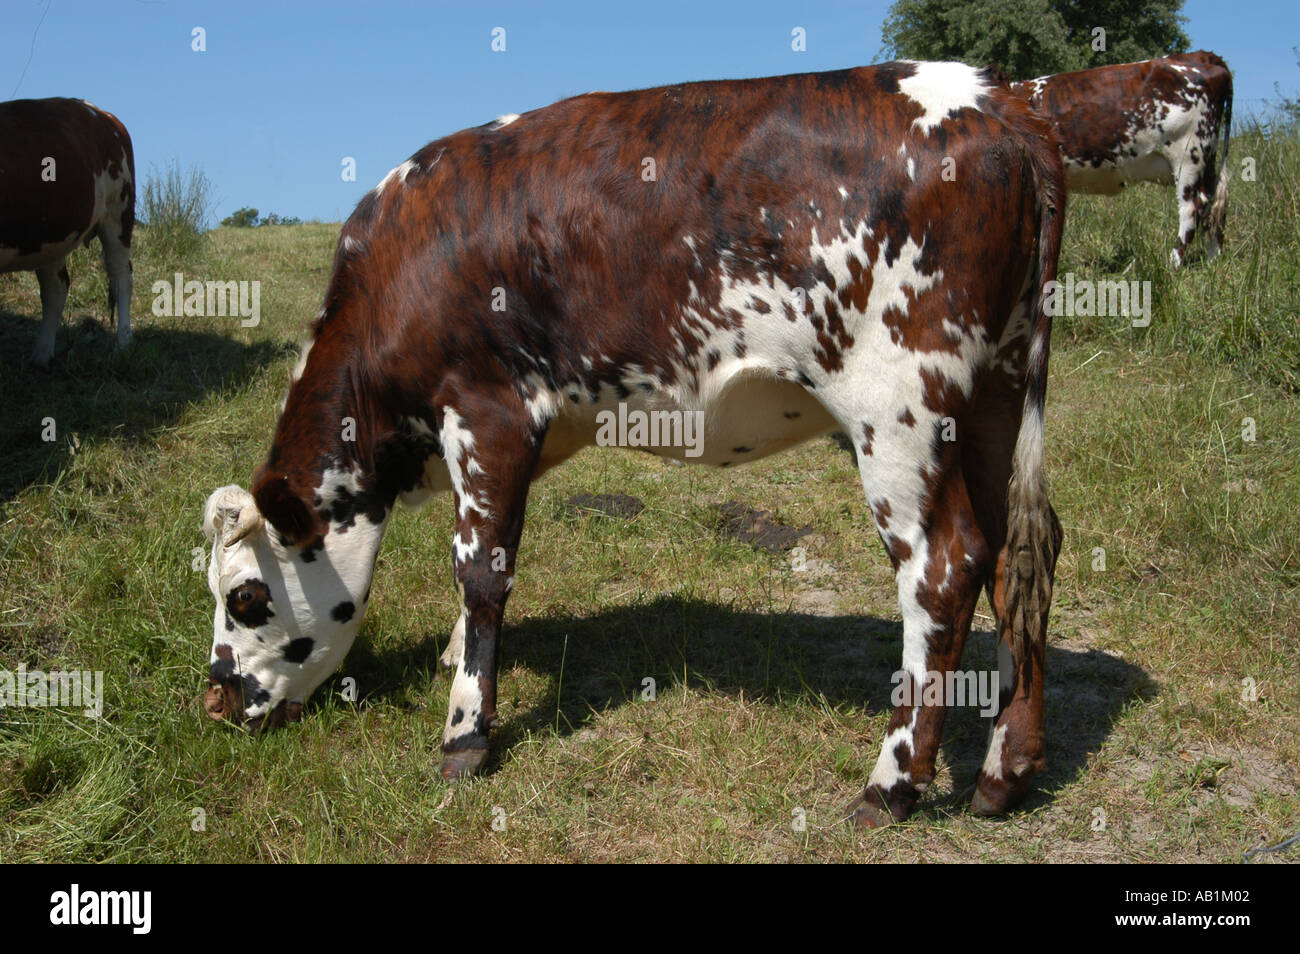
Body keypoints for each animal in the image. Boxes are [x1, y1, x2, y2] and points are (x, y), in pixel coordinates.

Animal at [0, 97, 135, 367]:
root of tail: (100, 112)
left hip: (119, 215)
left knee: (121, 278)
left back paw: (122, 346)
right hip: (52, 239)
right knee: (56, 288)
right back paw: (41, 355)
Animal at [201, 60, 1066, 826]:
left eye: (246, 595)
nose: (214, 699)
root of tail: (1000, 103)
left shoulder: (489, 410)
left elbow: (480, 570)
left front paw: (465, 733)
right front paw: (453, 657)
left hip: (898, 406)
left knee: (943, 568)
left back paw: (891, 785)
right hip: (996, 390)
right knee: (1020, 553)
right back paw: (1005, 772)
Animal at [1013, 51, 1232, 268]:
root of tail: (1200, 56)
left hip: (1187, 155)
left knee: (1192, 207)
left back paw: (1172, 263)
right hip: (1205, 159)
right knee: (1214, 206)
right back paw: (1213, 261)